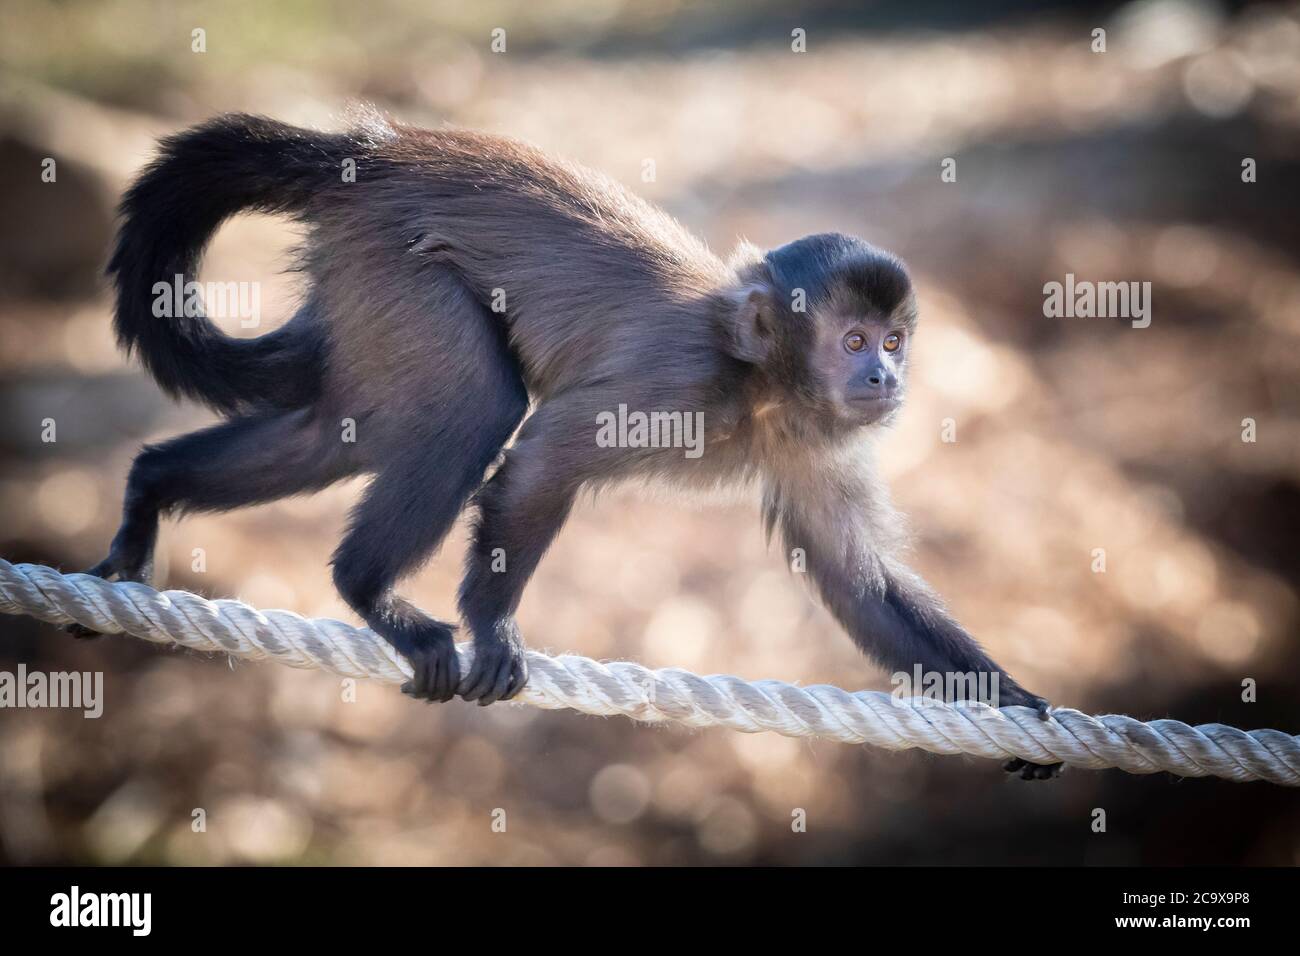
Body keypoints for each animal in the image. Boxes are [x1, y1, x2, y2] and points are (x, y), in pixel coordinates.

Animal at [74, 114, 1058, 778]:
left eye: (893, 341)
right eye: (853, 342)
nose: (886, 377)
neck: (759, 384)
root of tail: (375, 150)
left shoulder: (817, 440)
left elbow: (859, 580)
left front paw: (1015, 703)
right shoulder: (677, 385)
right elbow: (544, 454)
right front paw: (491, 626)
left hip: (361, 289)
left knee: (337, 431)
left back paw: (149, 491)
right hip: (396, 265)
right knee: (472, 409)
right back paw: (369, 593)